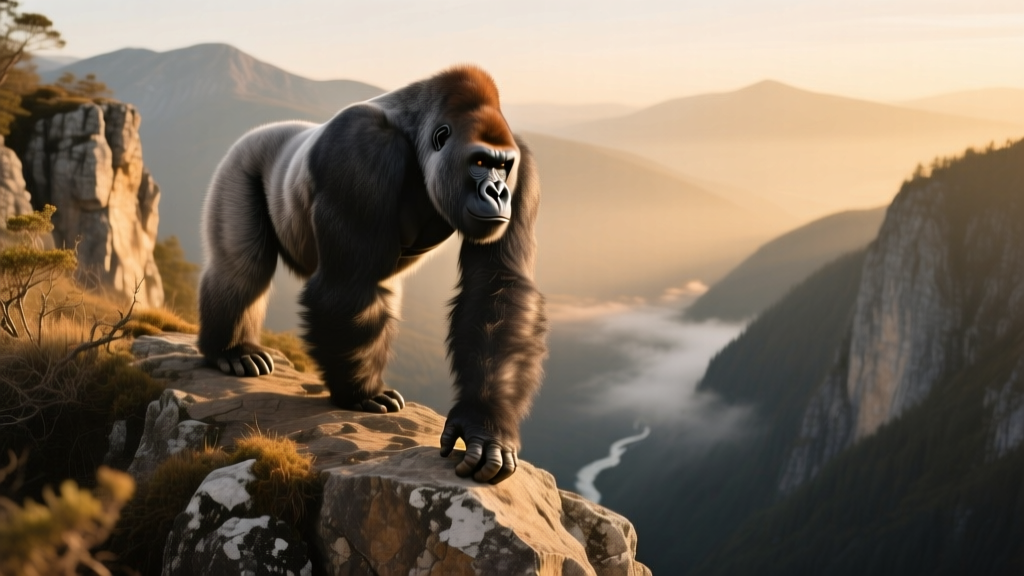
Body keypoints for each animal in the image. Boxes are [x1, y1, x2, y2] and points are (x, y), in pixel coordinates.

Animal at [197, 66, 547, 483]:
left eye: (503, 166)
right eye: (479, 163)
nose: (497, 192)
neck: (416, 136)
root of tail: (268, 129)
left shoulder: (524, 165)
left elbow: (497, 286)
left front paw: (484, 423)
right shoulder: (359, 149)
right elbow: (349, 283)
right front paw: (360, 393)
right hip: (240, 160)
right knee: (241, 268)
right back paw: (230, 350)